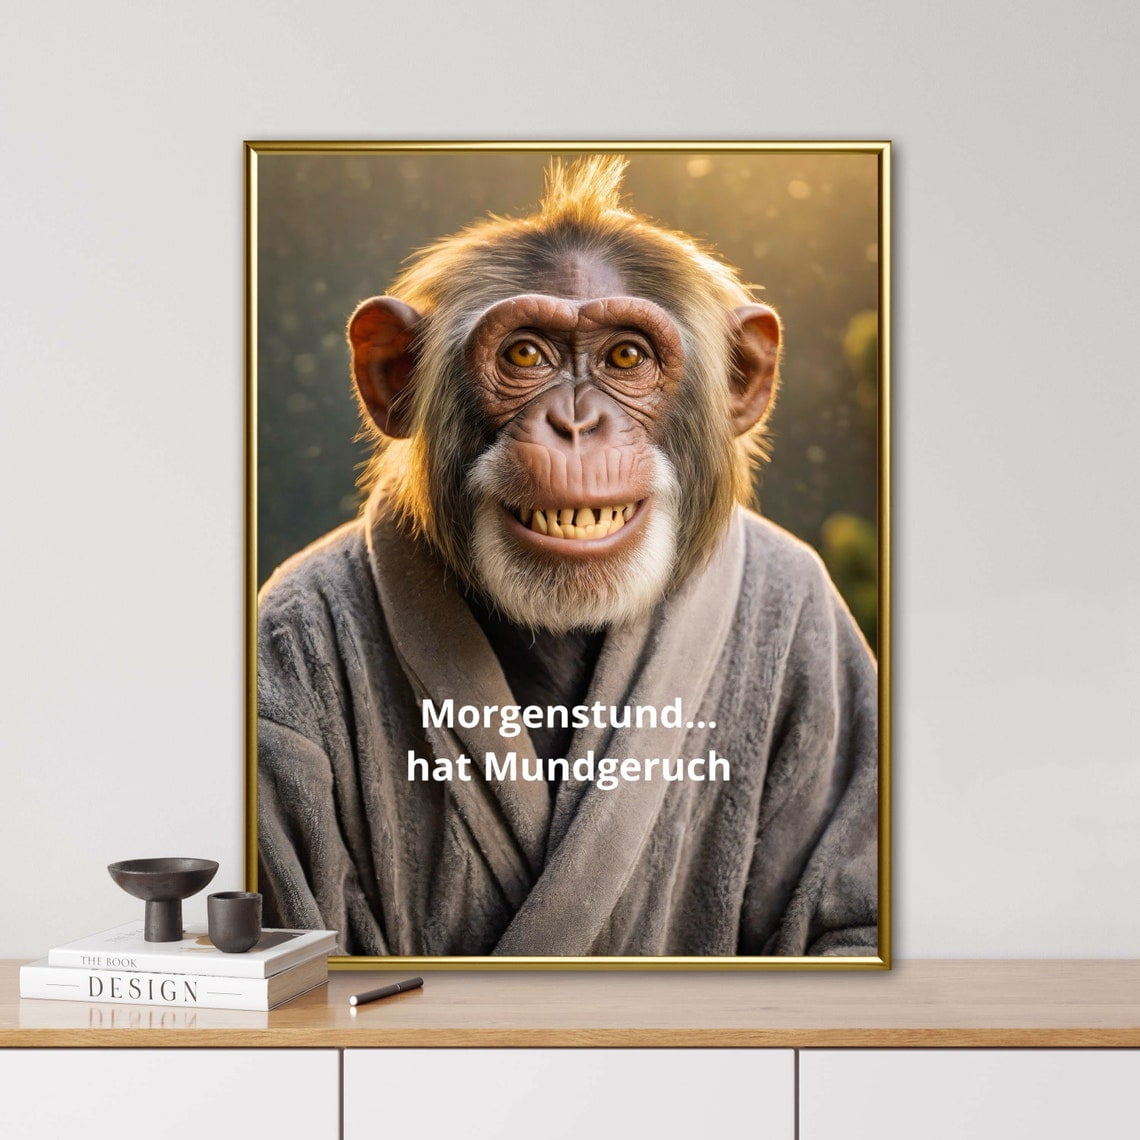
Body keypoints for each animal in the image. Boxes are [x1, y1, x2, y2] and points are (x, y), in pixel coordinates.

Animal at [257, 156, 878, 959]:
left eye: (625, 356)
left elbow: (843, 916)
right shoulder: (278, 699)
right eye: (525, 354)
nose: (576, 423)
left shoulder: (820, 641)